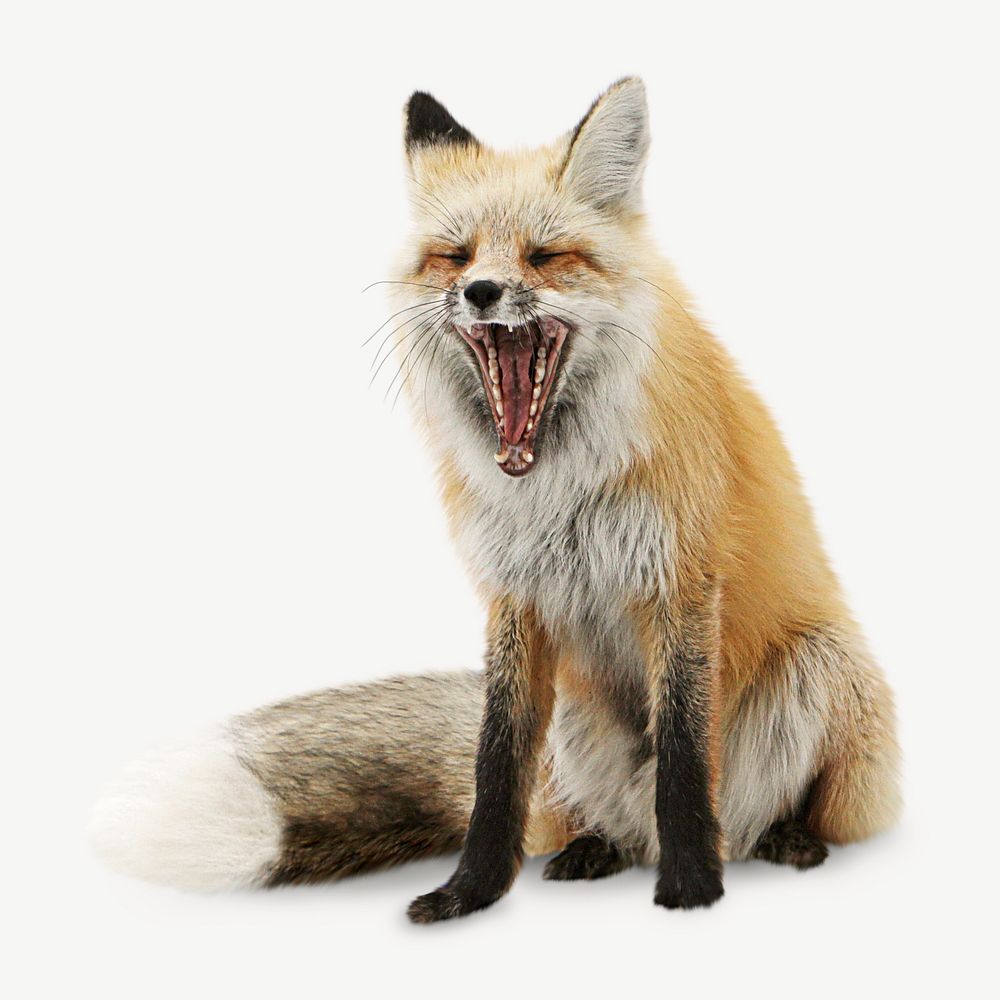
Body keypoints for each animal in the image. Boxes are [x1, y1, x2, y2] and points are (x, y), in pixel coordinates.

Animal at [91, 78, 901, 919]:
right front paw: (469, 893)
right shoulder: (515, 596)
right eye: (455, 256)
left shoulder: (680, 581)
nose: (479, 291)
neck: (557, 489)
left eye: (545, 256)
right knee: (592, 817)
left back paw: (782, 839)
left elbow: (683, 756)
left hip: (822, 667)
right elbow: (495, 761)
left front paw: (691, 887)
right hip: (576, 724)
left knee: (771, 812)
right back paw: (594, 848)